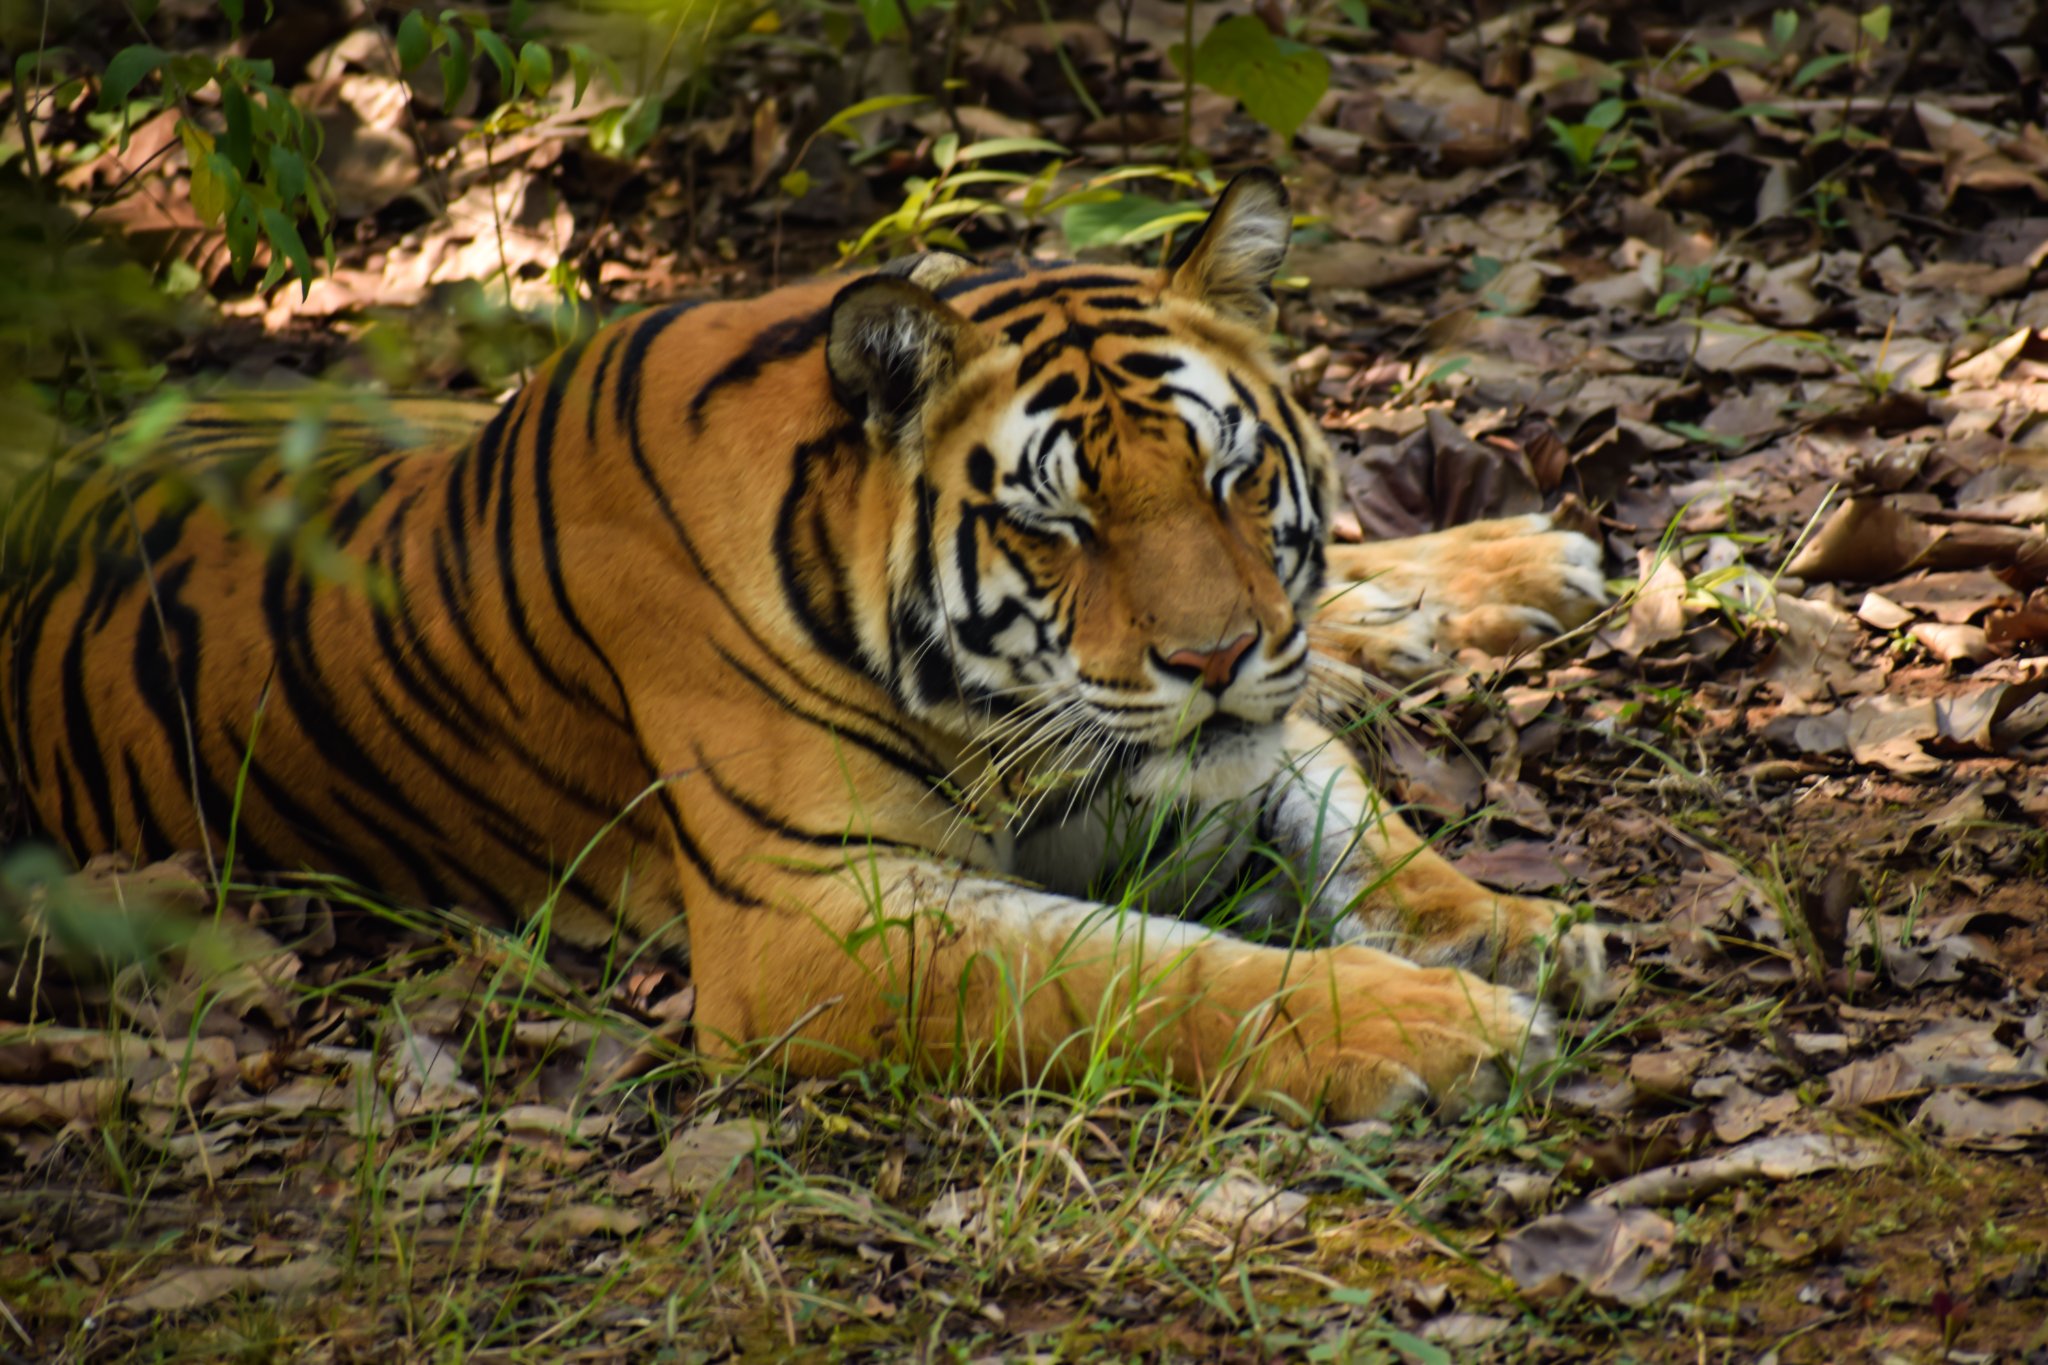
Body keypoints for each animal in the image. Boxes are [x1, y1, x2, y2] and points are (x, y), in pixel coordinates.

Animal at [1, 171, 1611, 1120]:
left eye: (1226, 478)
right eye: (1061, 523)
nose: (1211, 659)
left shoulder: (1209, 735)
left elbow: (1346, 803)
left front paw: (1512, 928)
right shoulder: (815, 920)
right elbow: (1150, 975)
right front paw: (1438, 1028)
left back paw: (1526, 565)